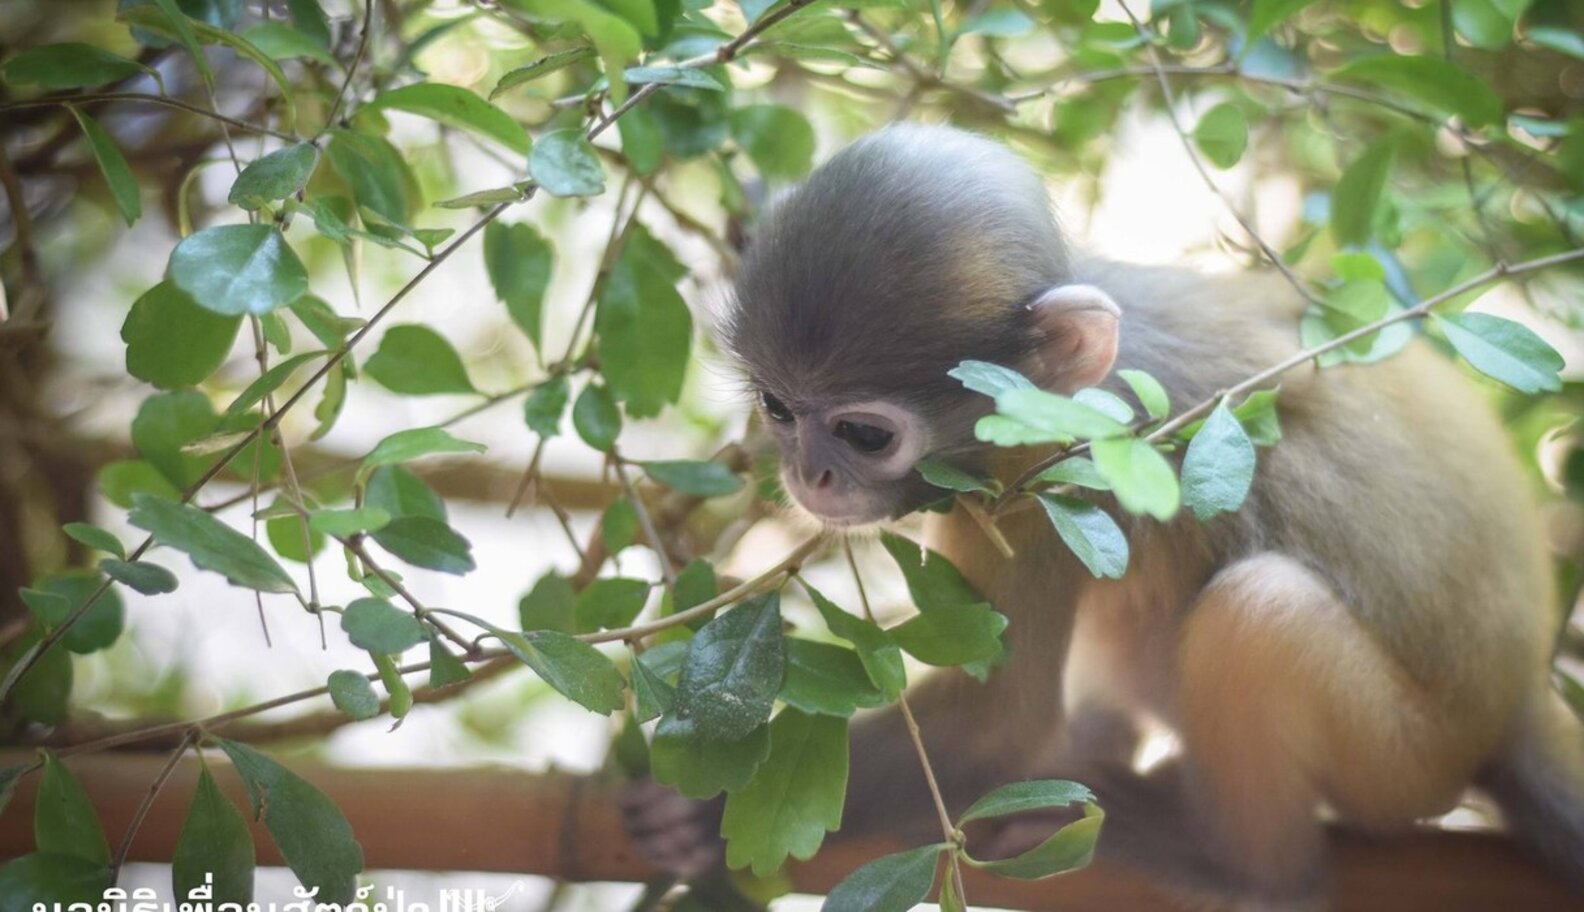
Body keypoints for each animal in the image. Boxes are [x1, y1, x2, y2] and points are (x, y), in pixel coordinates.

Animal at [621, 123, 1584, 908]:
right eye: (779, 410)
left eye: (863, 433)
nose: (809, 472)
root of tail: (1514, 698)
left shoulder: (1047, 468)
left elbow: (999, 719)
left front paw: (705, 813)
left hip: (1402, 761)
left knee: (1257, 612)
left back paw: (1241, 867)